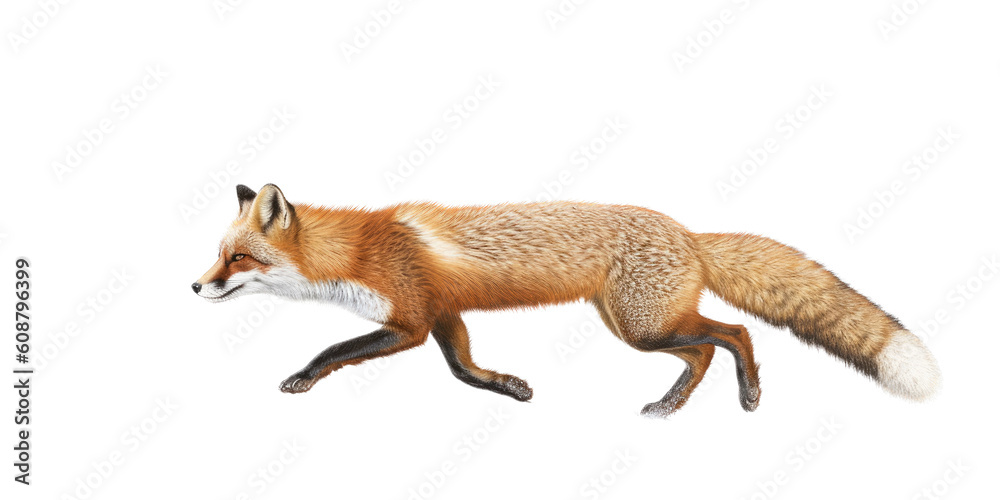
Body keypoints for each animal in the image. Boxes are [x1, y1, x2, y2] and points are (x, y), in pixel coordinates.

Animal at [193, 183, 941, 417]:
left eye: (237, 258)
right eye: (218, 252)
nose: (195, 286)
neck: (356, 254)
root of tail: (687, 233)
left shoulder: (408, 320)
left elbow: (336, 346)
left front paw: (302, 377)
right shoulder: (443, 316)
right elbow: (464, 370)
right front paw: (510, 387)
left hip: (643, 328)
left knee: (734, 334)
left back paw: (749, 394)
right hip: (636, 327)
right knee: (704, 351)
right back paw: (669, 408)